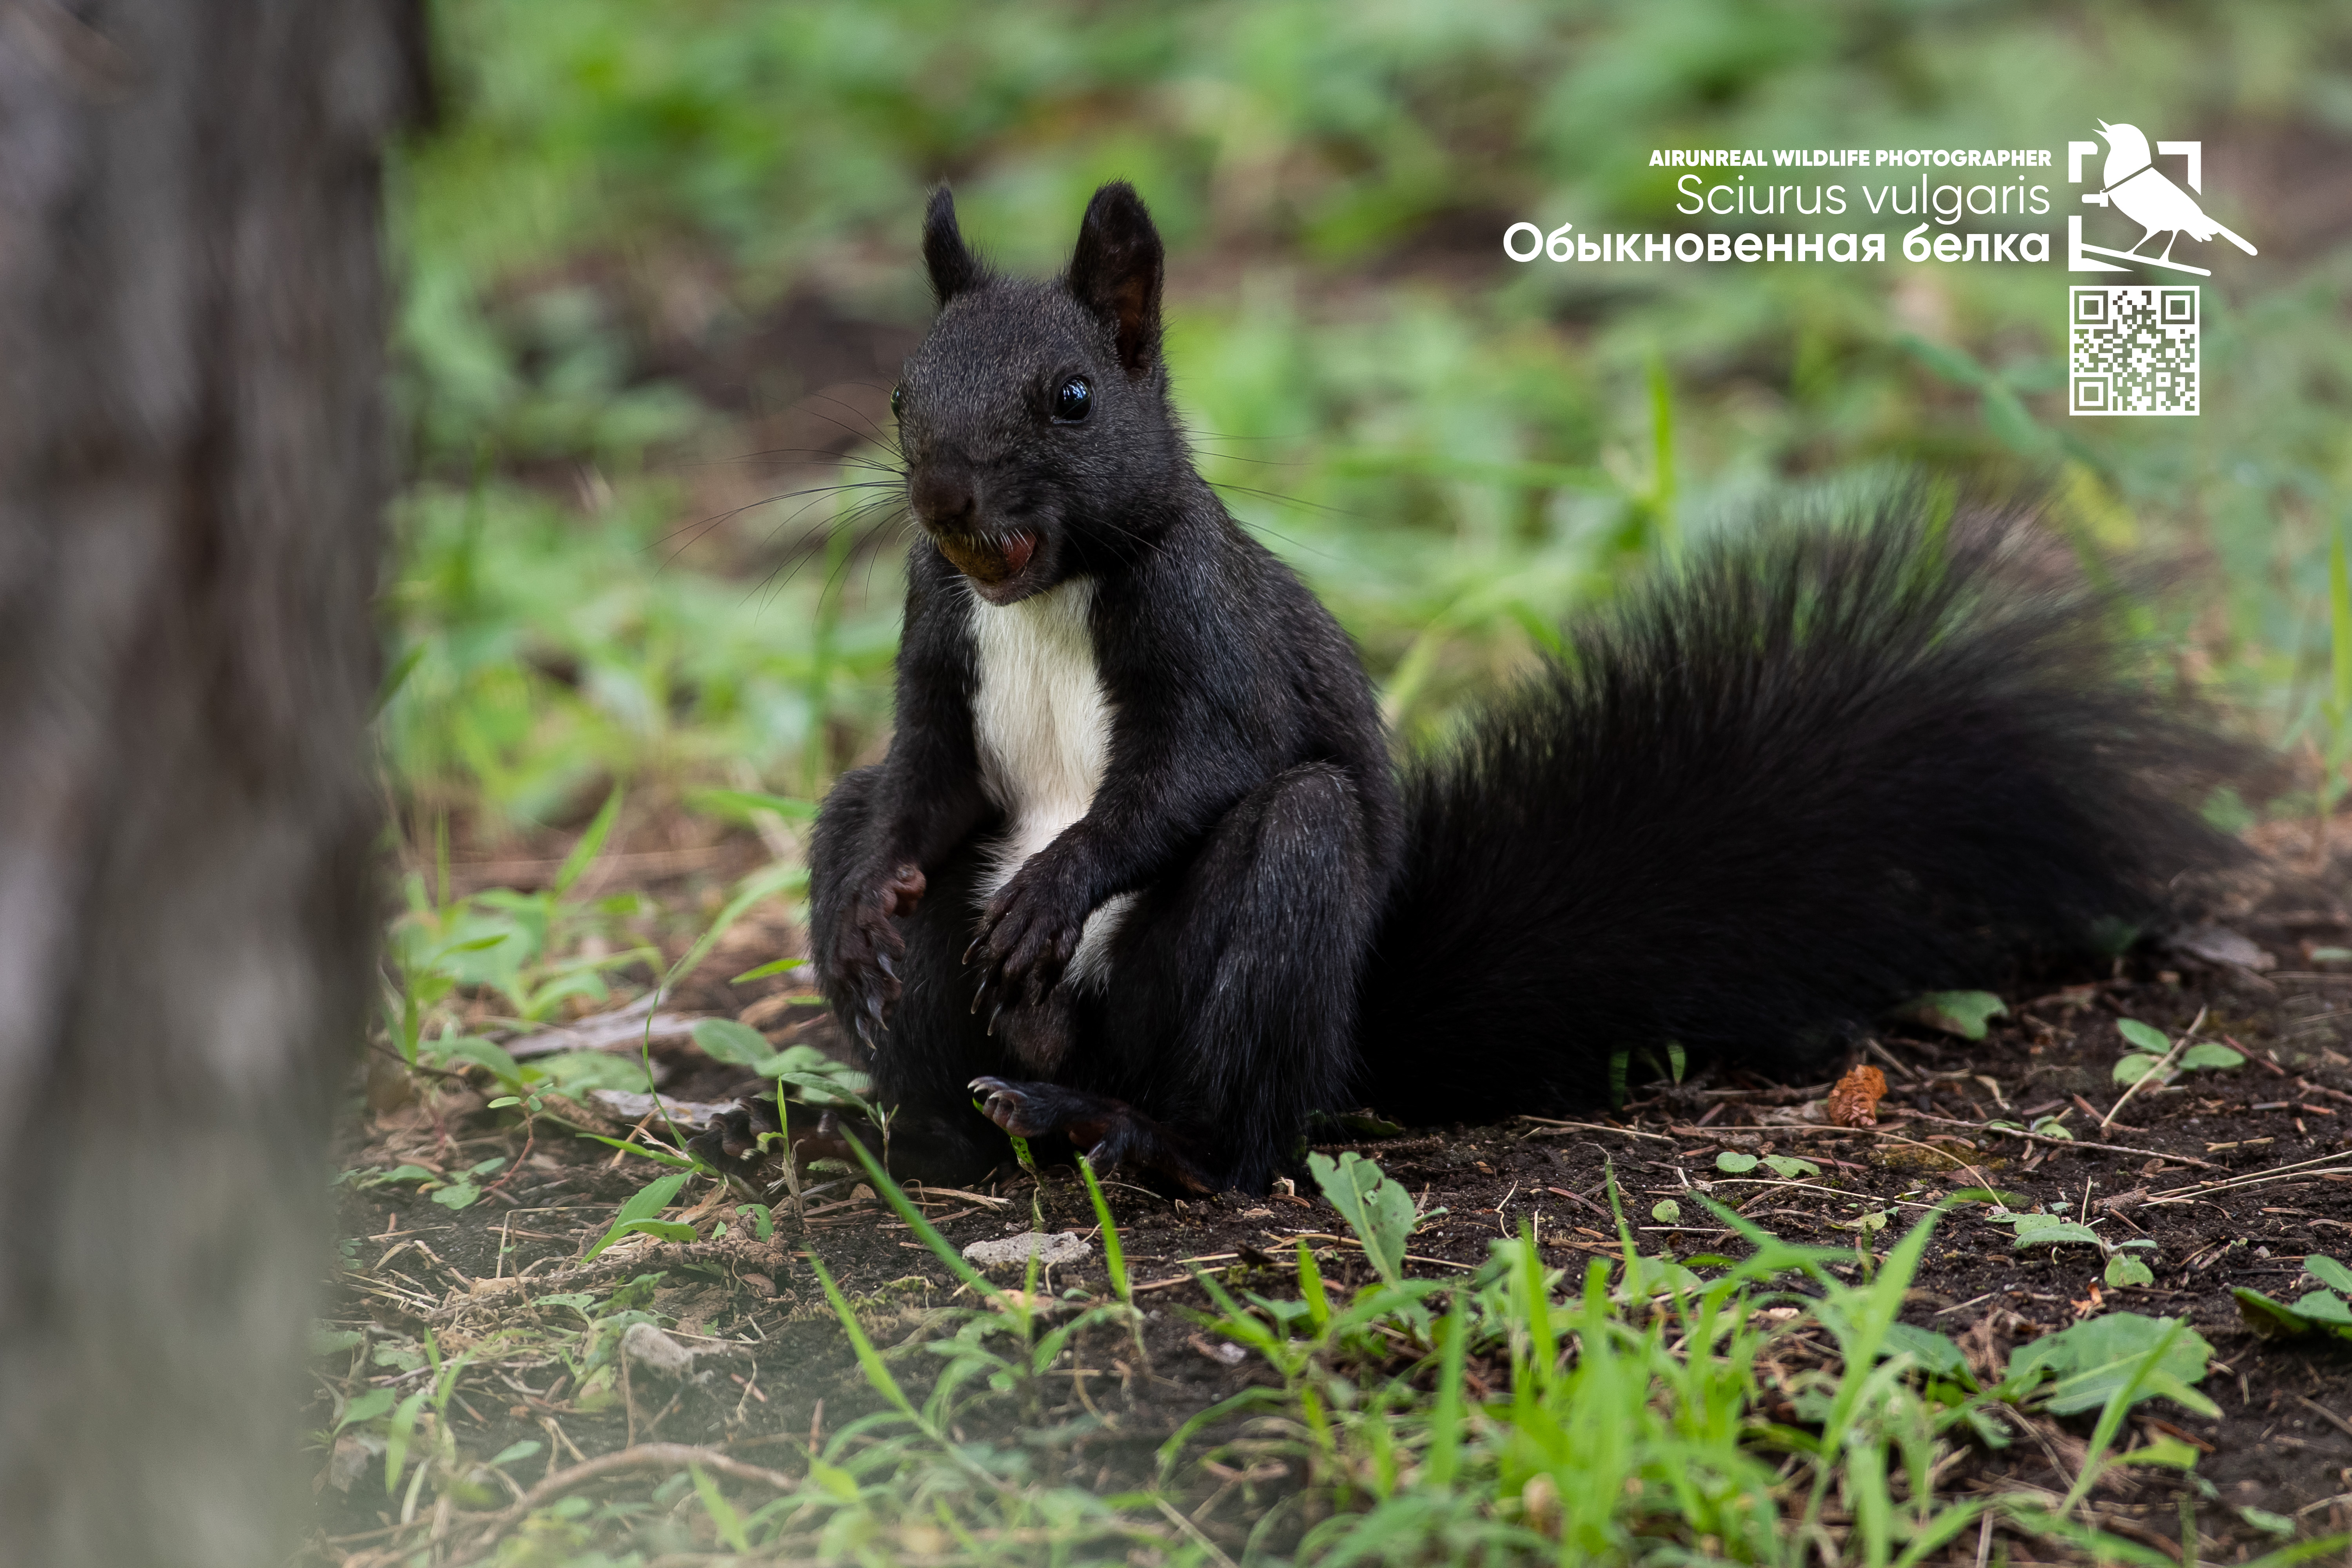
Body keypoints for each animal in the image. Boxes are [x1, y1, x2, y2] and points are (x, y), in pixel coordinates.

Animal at [691, 181, 2239, 1189]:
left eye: (1071, 398)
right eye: (901, 395)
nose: (948, 502)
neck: (1047, 593)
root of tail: (1350, 1046)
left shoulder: (1205, 630)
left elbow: (1198, 766)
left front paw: (1052, 886)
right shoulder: (932, 633)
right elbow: (921, 771)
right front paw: (862, 910)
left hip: (1239, 963)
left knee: (1249, 1101)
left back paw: (1136, 1135)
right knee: (871, 840)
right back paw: (930, 1123)